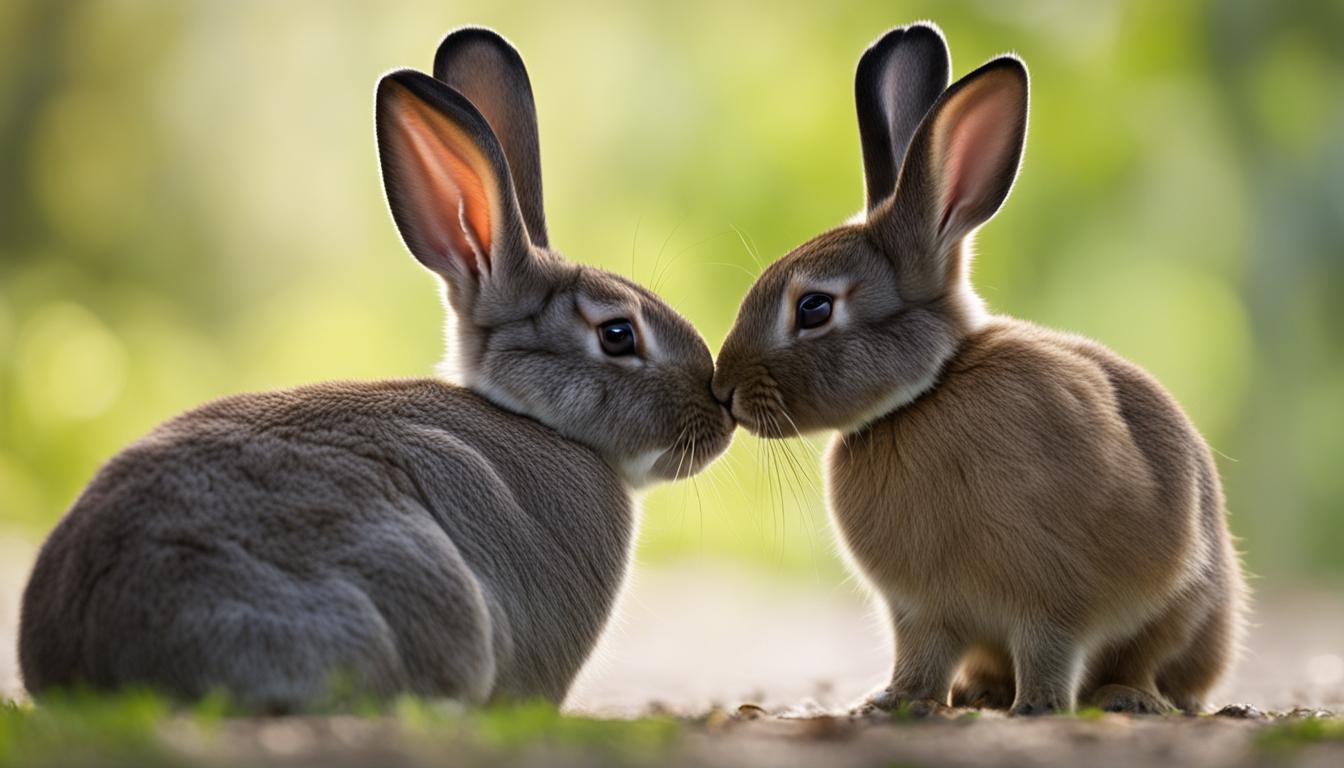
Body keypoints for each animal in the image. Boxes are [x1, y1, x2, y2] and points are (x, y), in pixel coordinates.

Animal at [712, 22, 1246, 716]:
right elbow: (921, 657)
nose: (723, 392)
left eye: (814, 308)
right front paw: (893, 703)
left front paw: (1038, 707)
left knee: (1154, 662)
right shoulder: (920, 612)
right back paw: (980, 691)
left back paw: (1125, 698)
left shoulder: (1055, 599)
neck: (925, 394)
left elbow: (1050, 647)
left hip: (1189, 602)